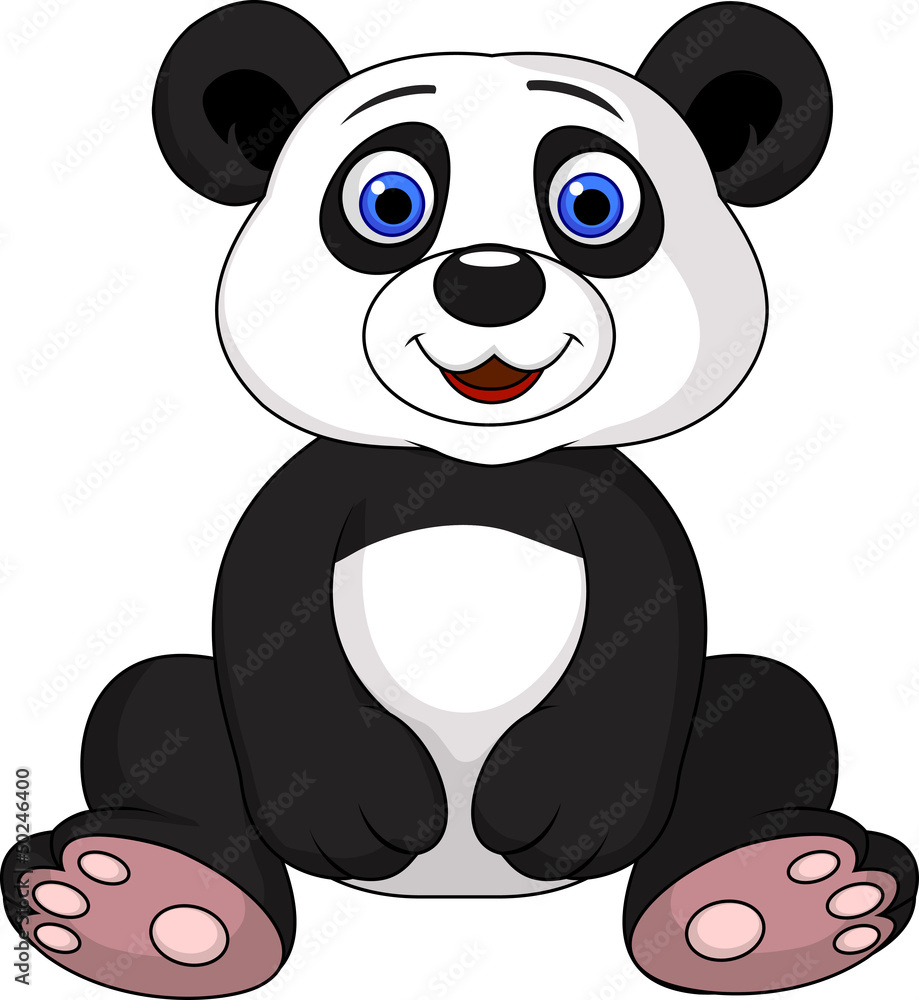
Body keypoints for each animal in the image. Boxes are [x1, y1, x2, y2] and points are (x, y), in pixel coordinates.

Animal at [5, 2, 916, 996]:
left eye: (592, 205)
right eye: (387, 203)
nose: (487, 281)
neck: (474, 469)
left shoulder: (616, 508)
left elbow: (650, 629)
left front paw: (564, 804)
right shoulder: (312, 496)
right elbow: (265, 621)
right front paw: (350, 802)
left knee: (768, 706)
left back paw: (761, 905)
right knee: (155, 707)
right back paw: (151, 906)